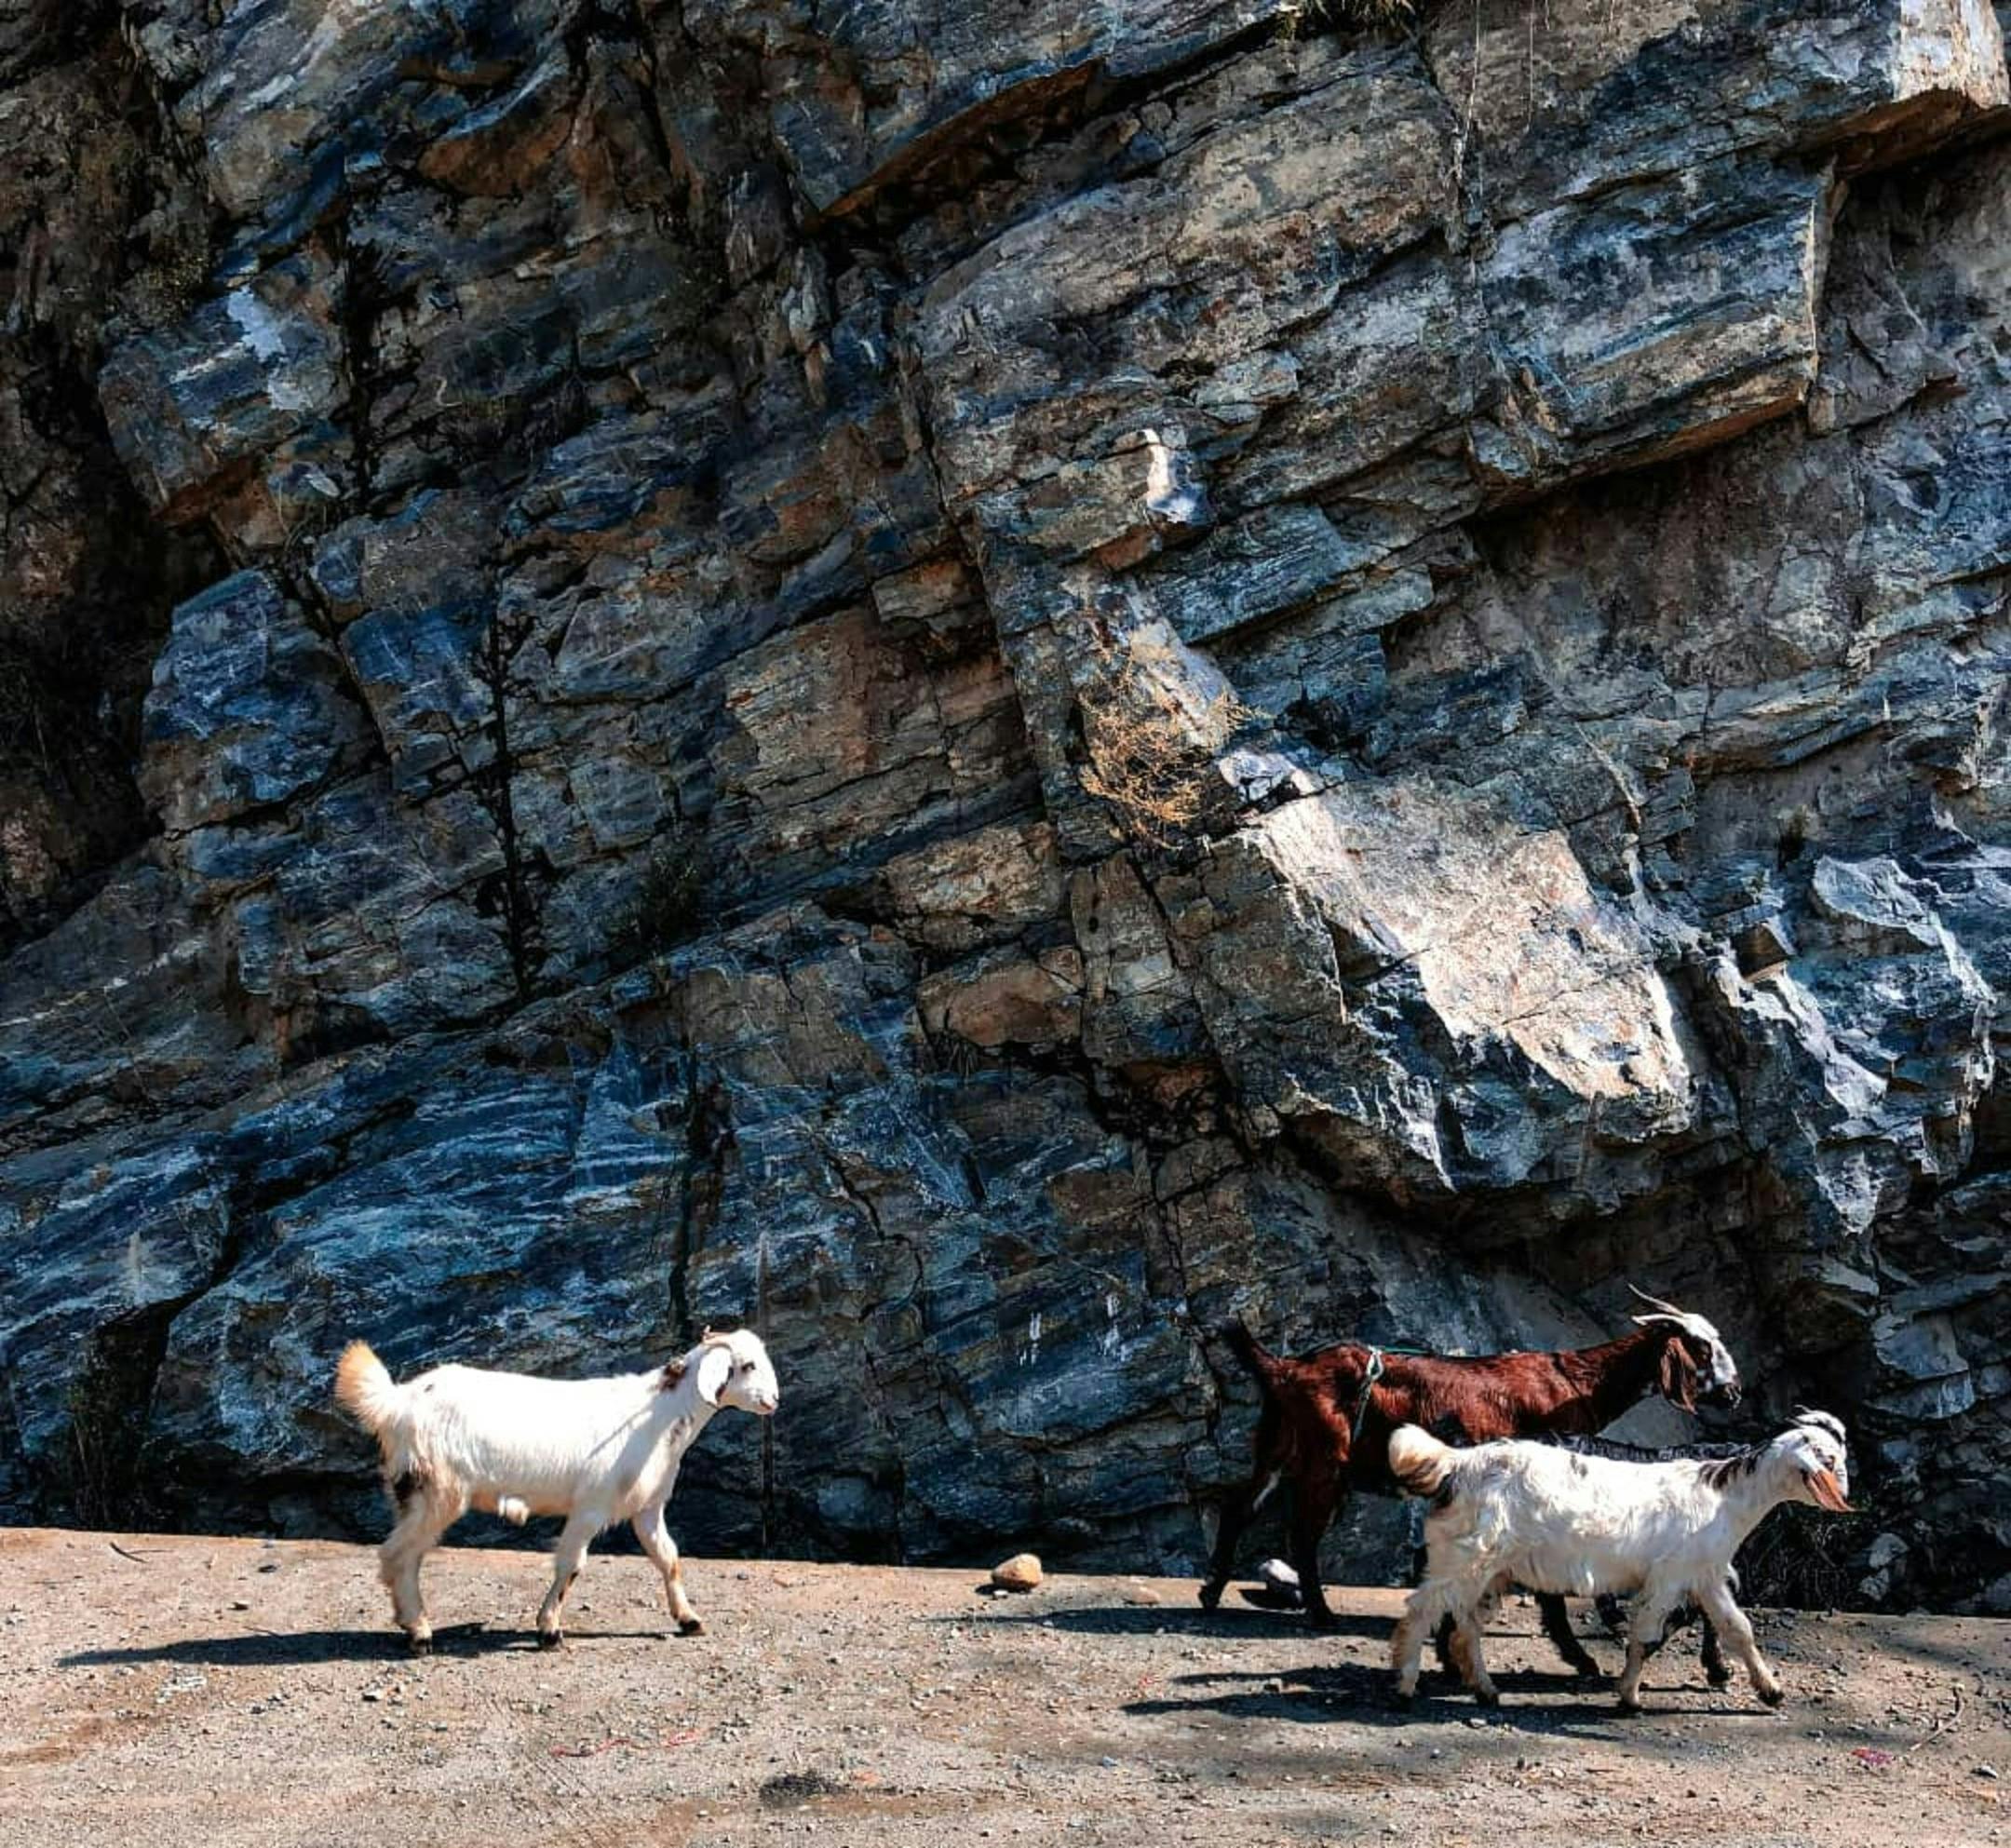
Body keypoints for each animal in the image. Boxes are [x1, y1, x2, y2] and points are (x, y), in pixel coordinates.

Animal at [334, 1327, 779, 1652]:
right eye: (747, 1365)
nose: (774, 1400)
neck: (660, 1415)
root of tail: (397, 1401)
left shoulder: (647, 1508)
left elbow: (668, 1558)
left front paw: (688, 1619)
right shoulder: (591, 1506)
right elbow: (571, 1566)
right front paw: (548, 1629)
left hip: (415, 1495)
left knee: (404, 1555)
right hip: (436, 1491)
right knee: (398, 1555)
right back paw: (419, 1631)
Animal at [1199, 1286, 1742, 1680]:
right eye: (1701, 1347)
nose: (1735, 1393)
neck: (1573, 1383)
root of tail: (1285, 1367)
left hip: (1277, 1449)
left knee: (1240, 1507)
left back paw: (1211, 1592)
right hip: (1324, 1462)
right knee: (1303, 1535)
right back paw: (1320, 1612)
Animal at [1389, 1410, 1851, 1712]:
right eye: (1829, 1460)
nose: (1845, 1494)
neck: (1726, 1497)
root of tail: (1459, 1462)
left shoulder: (1703, 1575)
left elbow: (1737, 1629)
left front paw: (1769, 1690)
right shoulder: (1669, 1578)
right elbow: (1646, 1636)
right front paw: (1629, 1696)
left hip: (1490, 1570)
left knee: (1465, 1626)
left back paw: (1486, 1690)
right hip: (1464, 1557)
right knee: (1422, 1611)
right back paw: (1405, 1687)